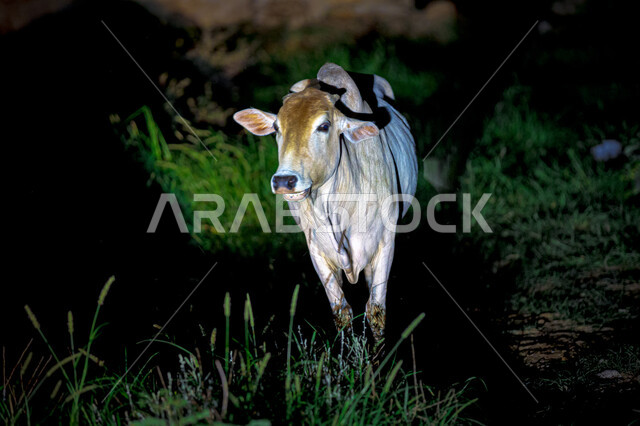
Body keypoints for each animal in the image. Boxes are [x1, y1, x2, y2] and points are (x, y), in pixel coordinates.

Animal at [233, 63, 418, 341]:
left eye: (323, 126)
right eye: (276, 128)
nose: (284, 180)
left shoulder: (385, 242)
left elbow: (376, 312)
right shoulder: (317, 249)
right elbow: (341, 312)